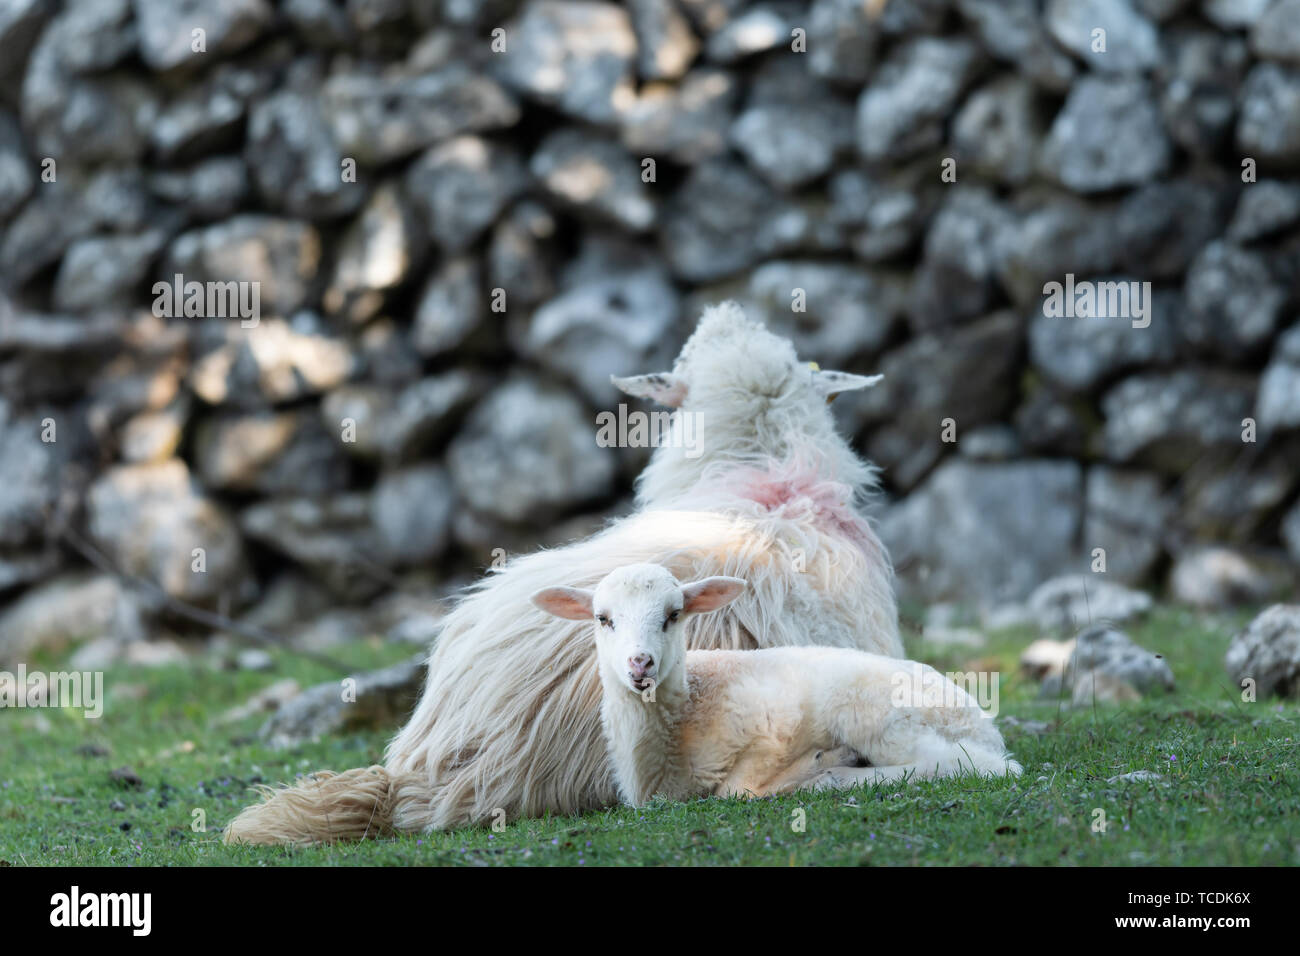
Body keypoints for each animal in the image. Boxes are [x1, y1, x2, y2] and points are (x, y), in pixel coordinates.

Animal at [531, 564, 1021, 804]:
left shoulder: (771, 722)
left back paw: (838, 770)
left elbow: (739, 788)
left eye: (674, 615)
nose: (640, 664)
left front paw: (815, 767)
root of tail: (982, 723)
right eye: (603, 618)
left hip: (875, 712)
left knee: (972, 765)